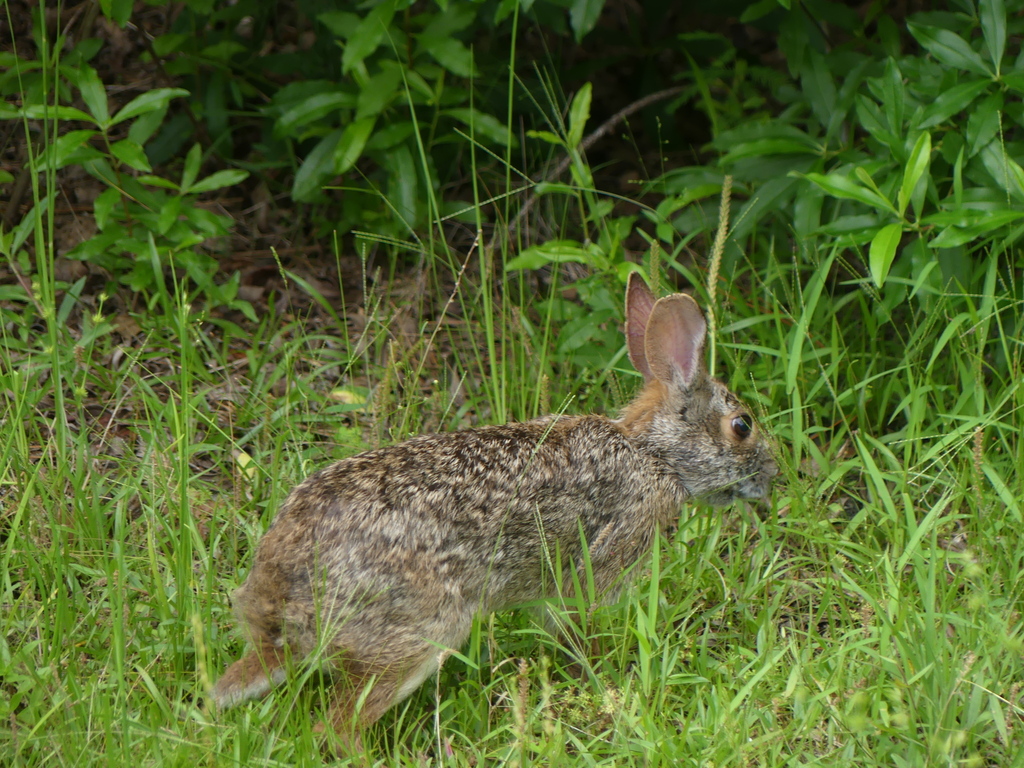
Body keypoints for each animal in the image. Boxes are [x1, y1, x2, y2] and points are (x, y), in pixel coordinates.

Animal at [210, 272, 778, 745]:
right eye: (742, 426)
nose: (773, 475)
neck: (654, 454)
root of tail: (279, 605)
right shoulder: (600, 565)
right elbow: (578, 626)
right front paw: (600, 680)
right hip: (419, 632)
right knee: (337, 726)